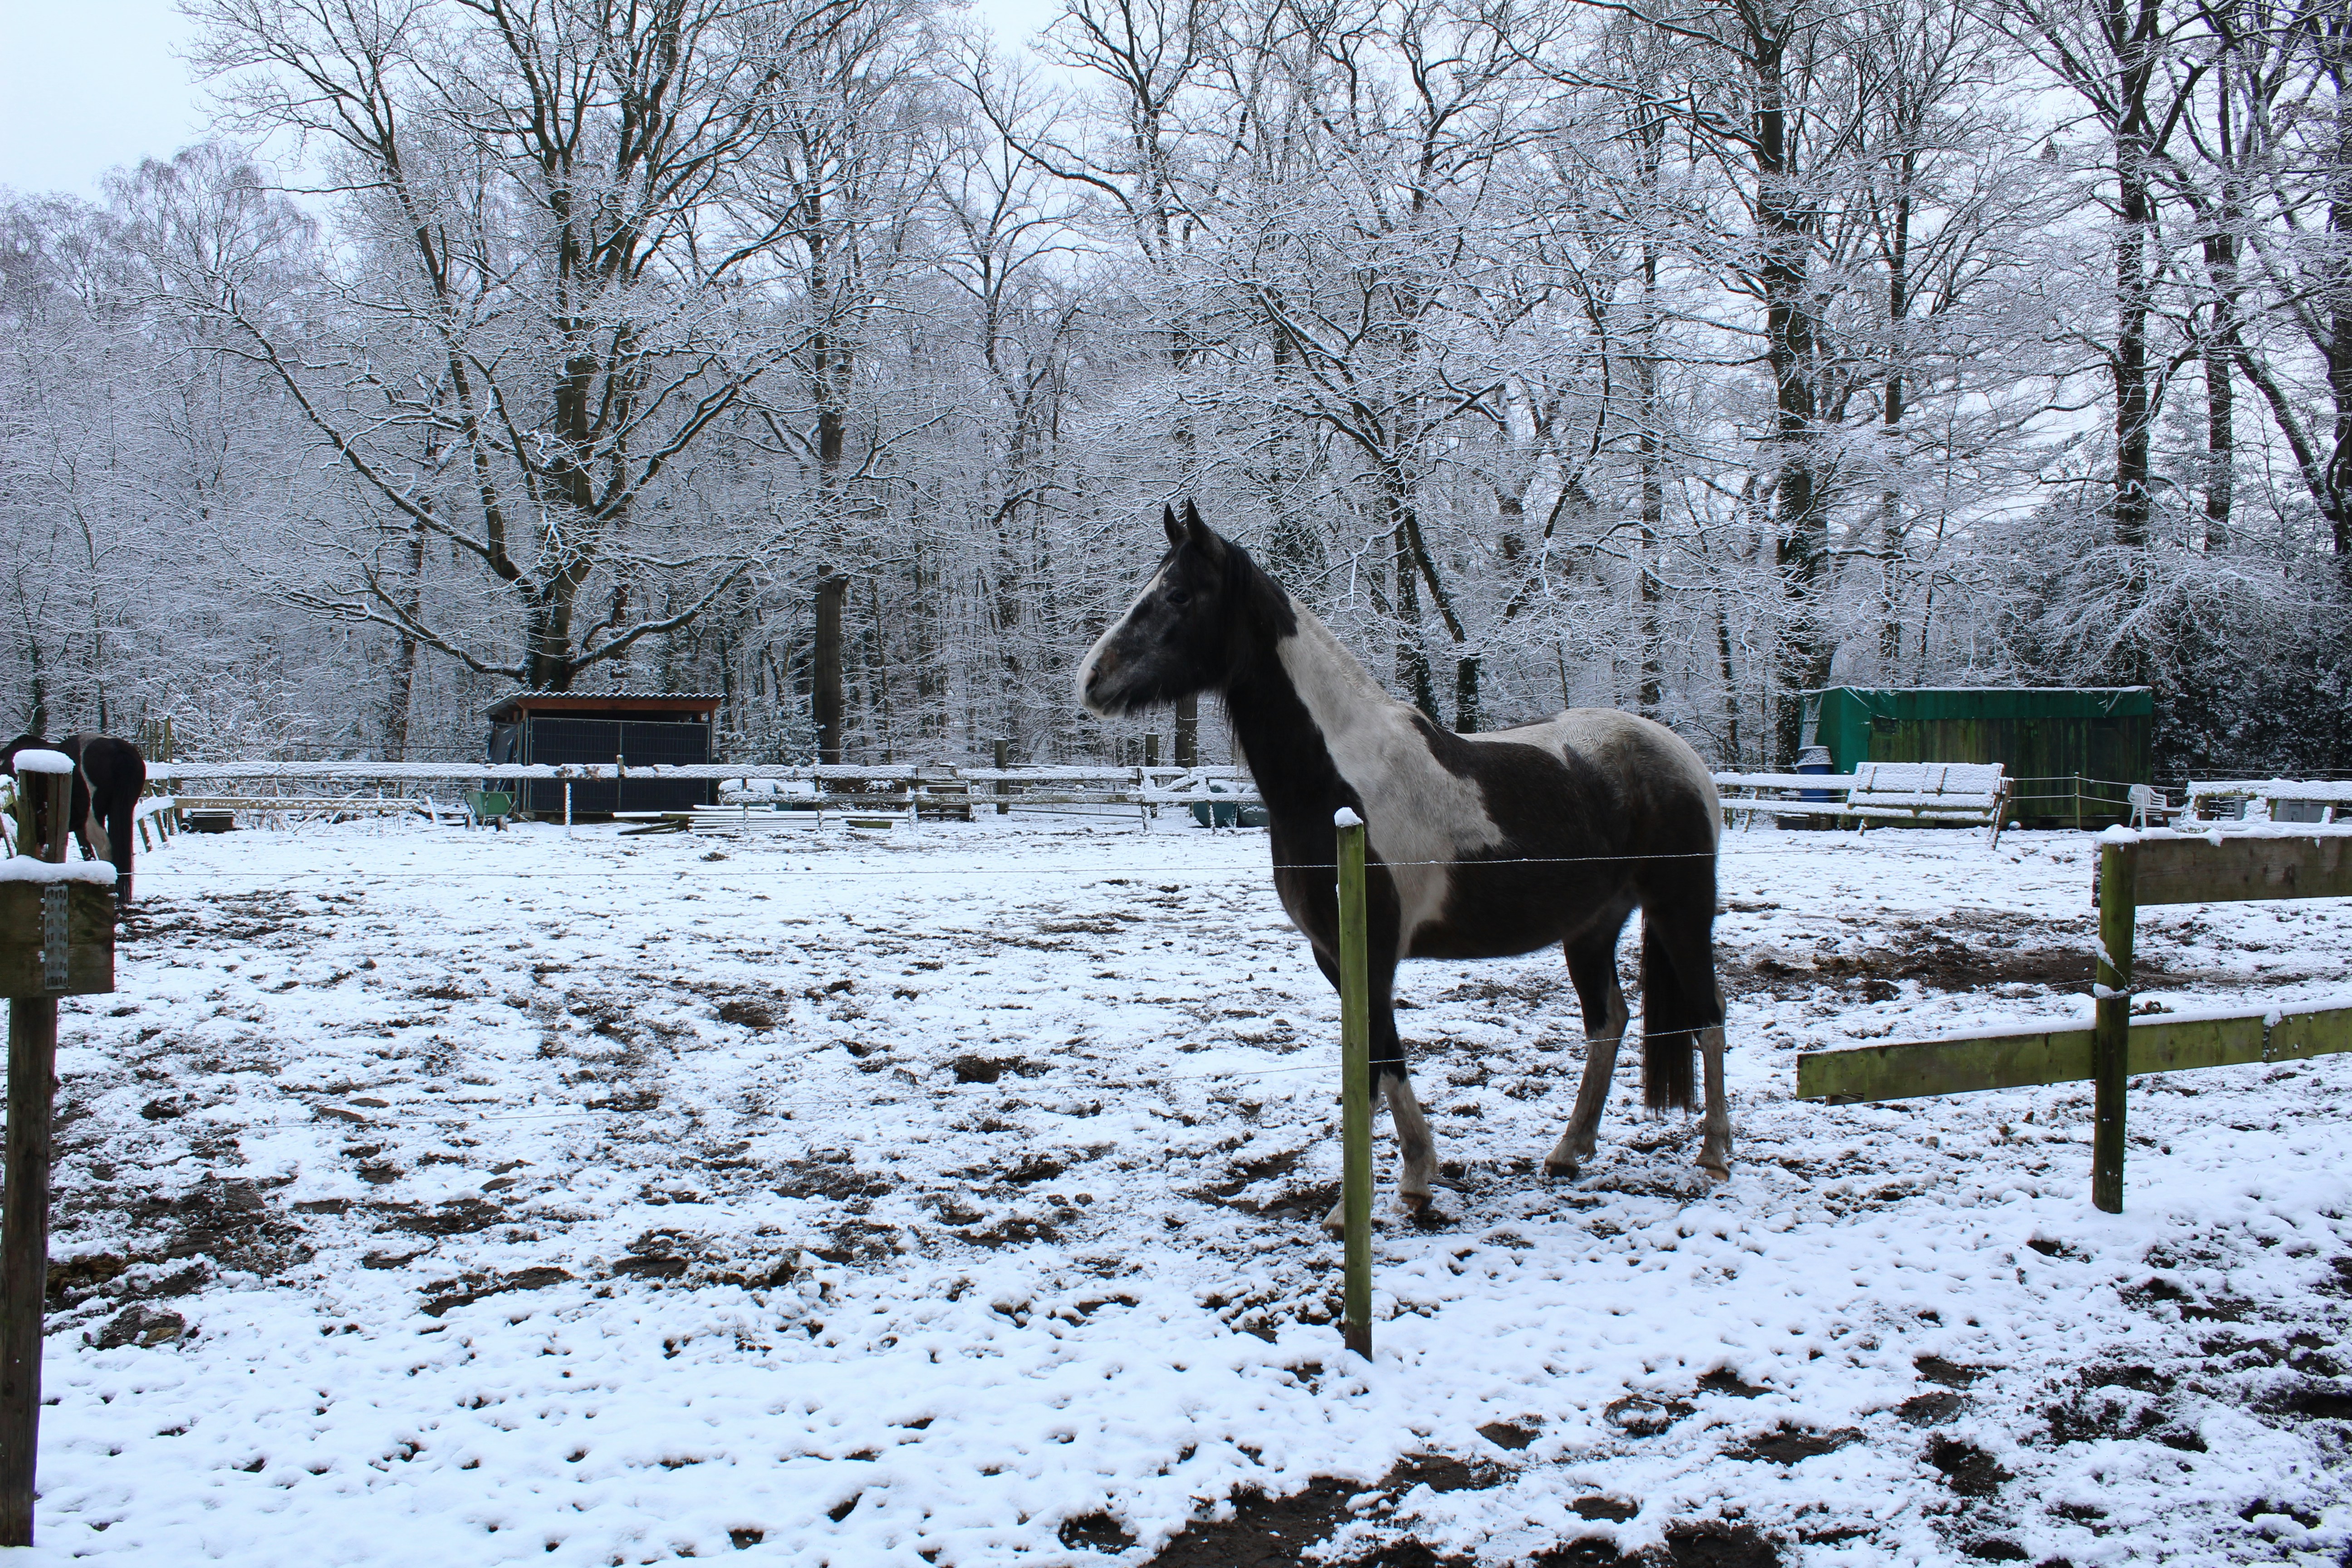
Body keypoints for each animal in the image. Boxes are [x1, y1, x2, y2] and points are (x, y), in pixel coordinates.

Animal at [1077, 502, 1732, 1219]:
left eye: (1178, 595)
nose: (1092, 679)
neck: (1336, 782)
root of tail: (1681, 757)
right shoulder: (1335, 953)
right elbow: (1385, 1056)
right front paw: (1417, 1176)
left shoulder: (1373, 948)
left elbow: (1370, 1062)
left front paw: (1352, 1209)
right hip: (1590, 927)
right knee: (1608, 1020)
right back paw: (1570, 1150)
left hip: (1681, 911)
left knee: (1708, 1015)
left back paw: (1713, 1157)